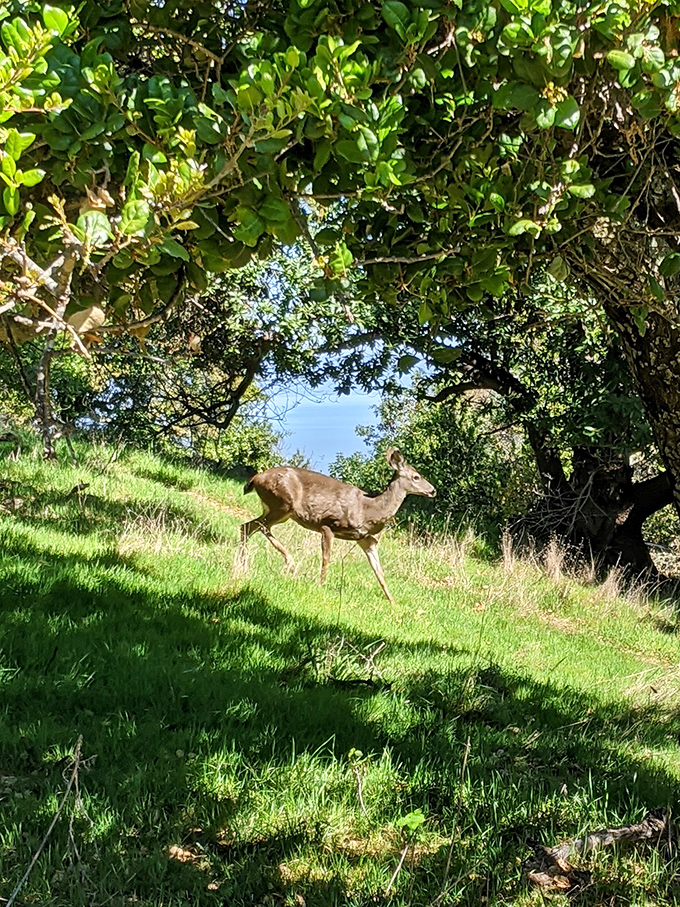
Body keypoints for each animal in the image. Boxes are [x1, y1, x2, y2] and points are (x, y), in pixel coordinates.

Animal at [237, 448, 436, 603]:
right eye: (416, 477)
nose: (433, 490)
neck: (369, 510)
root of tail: (256, 478)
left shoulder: (366, 540)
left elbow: (379, 572)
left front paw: (393, 602)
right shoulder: (327, 524)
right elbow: (326, 557)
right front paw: (321, 585)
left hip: (277, 509)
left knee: (247, 526)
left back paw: (242, 564)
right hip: (282, 503)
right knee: (260, 526)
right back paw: (288, 562)